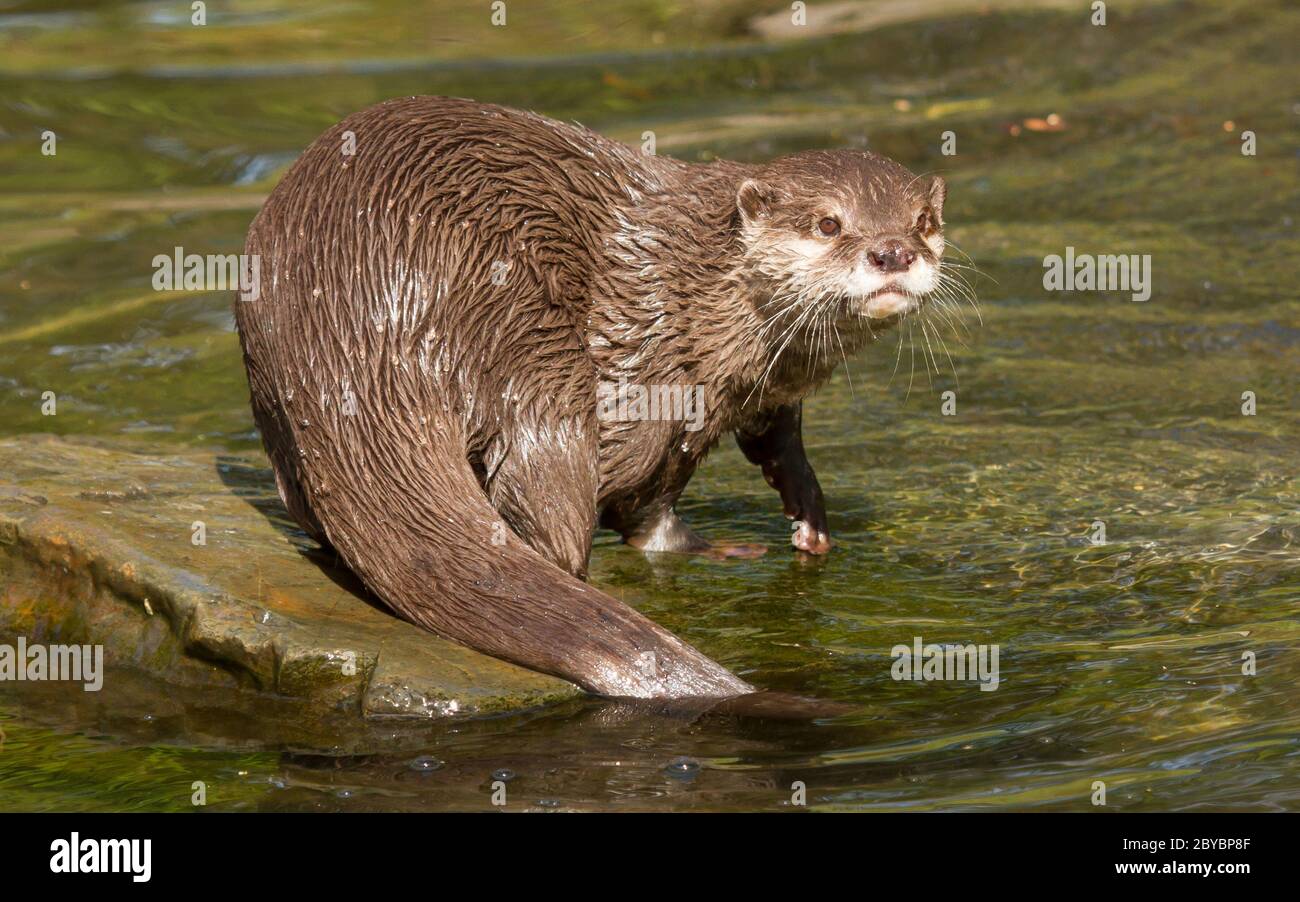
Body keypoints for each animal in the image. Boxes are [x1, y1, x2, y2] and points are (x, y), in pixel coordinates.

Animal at [235, 96, 954, 699]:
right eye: (828, 223)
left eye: (923, 221)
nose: (893, 252)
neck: (700, 286)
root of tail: (361, 333)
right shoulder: (655, 369)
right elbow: (638, 494)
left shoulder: (761, 391)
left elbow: (772, 443)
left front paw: (805, 512)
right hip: (528, 334)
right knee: (552, 500)